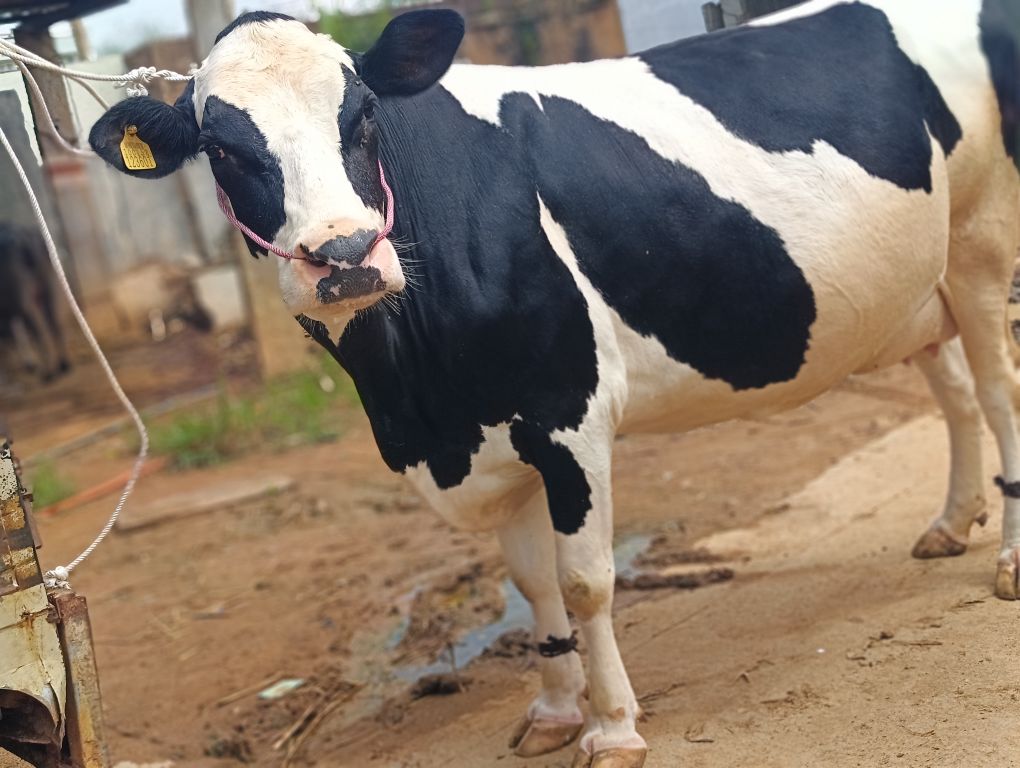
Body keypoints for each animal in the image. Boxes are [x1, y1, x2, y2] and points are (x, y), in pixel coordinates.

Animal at [0, 223, 70, 384]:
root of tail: (24, 237)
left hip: (24, 299)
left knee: (40, 331)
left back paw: (48, 372)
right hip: (52, 288)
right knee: (55, 323)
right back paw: (64, 365)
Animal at [87, 2, 1020, 764]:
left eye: (363, 115)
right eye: (222, 146)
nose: (345, 254)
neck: (417, 399)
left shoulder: (568, 416)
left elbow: (584, 580)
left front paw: (611, 728)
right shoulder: (491, 443)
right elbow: (532, 583)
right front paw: (553, 711)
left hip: (982, 242)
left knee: (999, 393)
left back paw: (1006, 556)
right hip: (912, 283)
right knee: (955, 393)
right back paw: (949, 523)